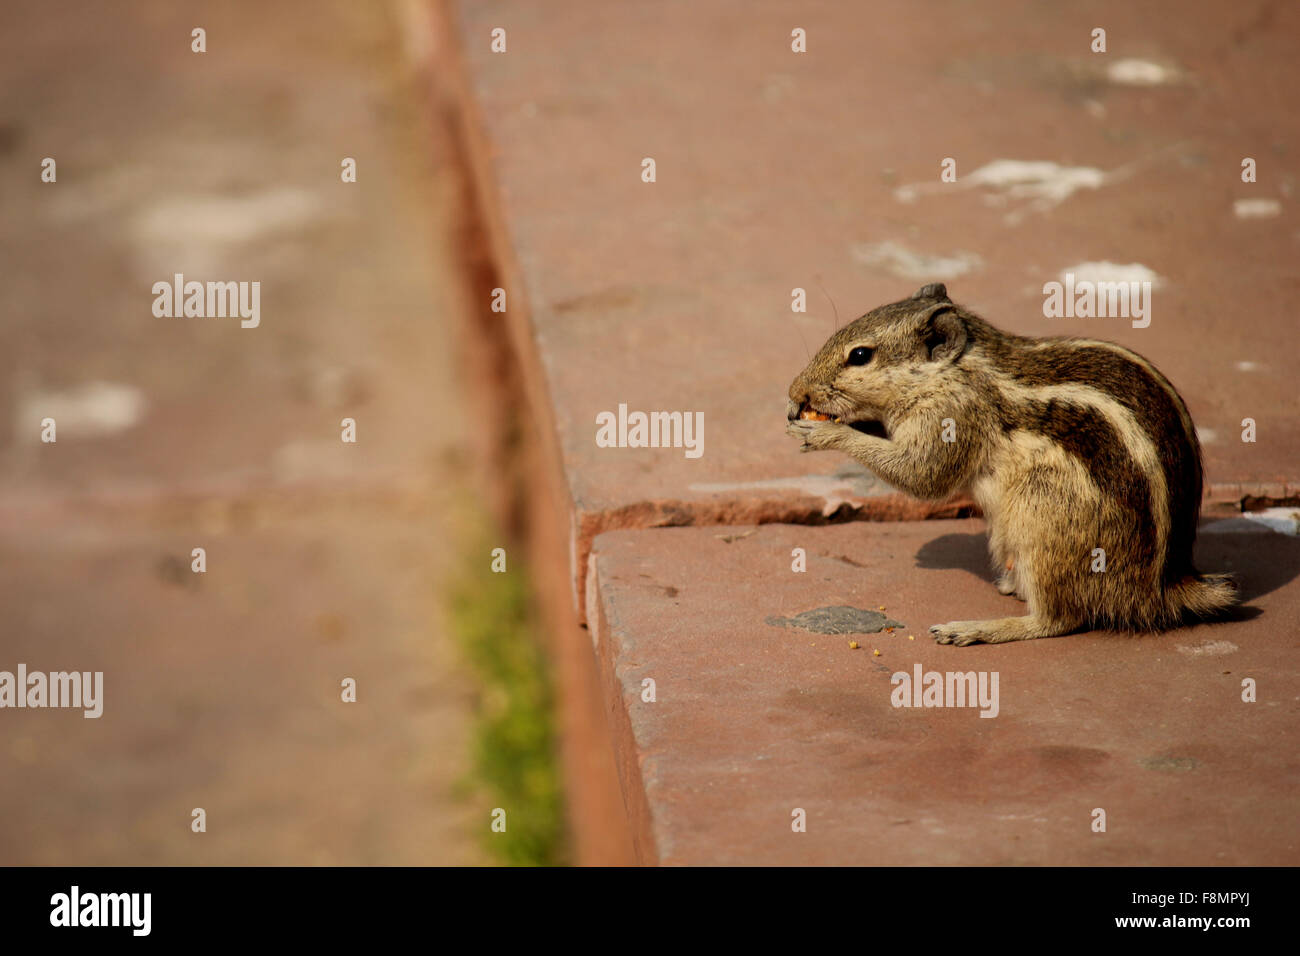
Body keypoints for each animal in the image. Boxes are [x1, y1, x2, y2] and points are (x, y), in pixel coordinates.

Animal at [785, 283, 1238, 645]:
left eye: (860, 355)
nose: (795, 391)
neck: (956, 370)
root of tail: (1161, 589)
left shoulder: (952, 418)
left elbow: (923, 476)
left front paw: (824, 434)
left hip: (1042, 520)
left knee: (1057, 620)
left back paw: (977, 628)